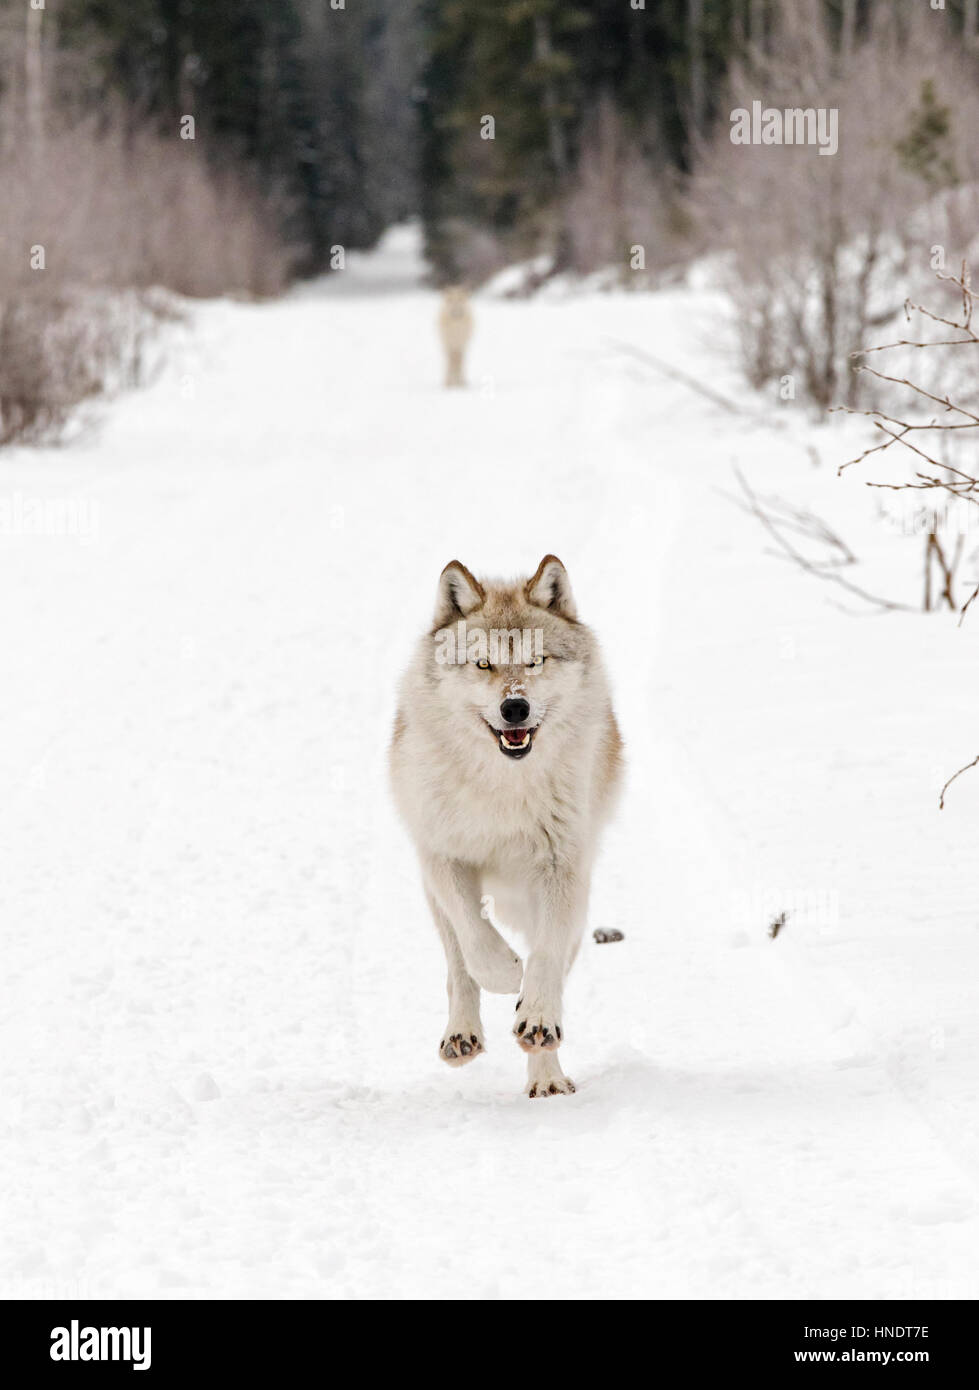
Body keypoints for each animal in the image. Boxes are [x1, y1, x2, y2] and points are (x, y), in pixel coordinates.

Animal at [390, 555, 623, 1098]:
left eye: (536, 661)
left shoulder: (563, 866)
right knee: (458, 965)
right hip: (433, 893)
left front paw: (535, 1018)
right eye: (483, 665)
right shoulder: (443, 856)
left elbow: (546, 958)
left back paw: (546, 1074)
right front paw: (505, 972)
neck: (503, 786)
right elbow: (478, 942)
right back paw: (462, 1036)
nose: (514, 707)